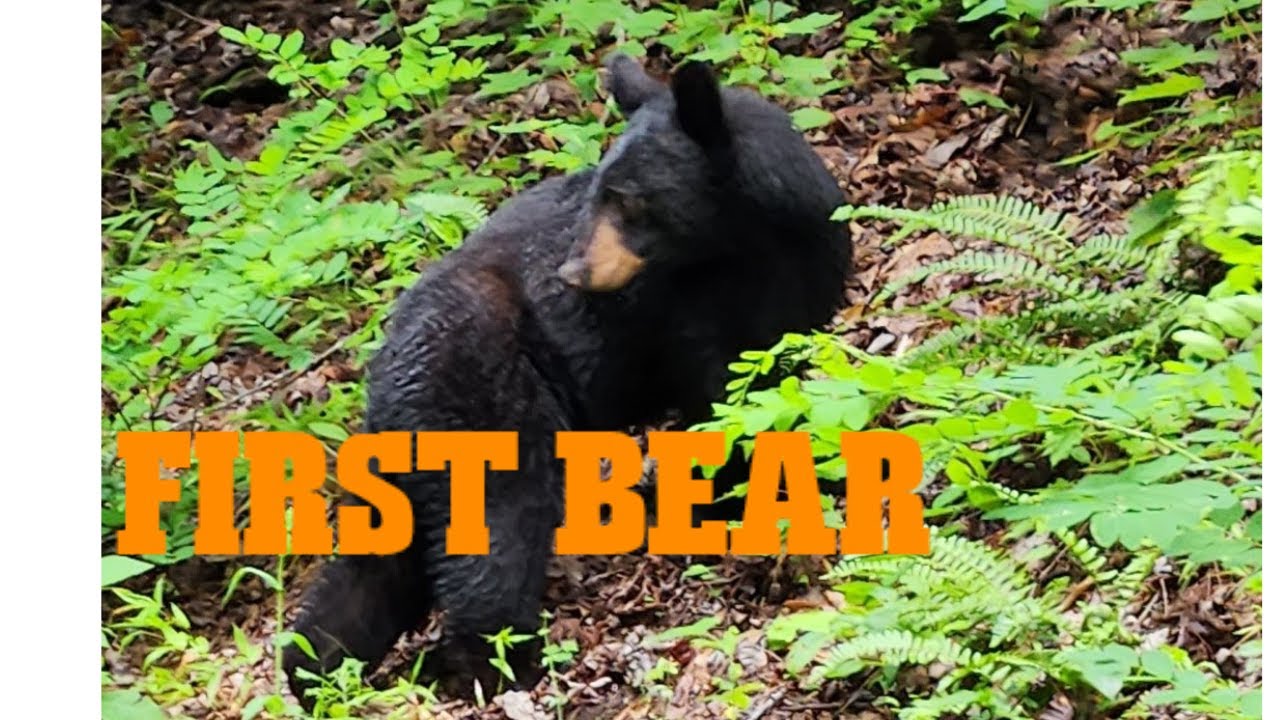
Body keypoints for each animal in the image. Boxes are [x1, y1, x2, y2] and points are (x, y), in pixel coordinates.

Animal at [283, 53, 851, 705]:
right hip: (484, 401)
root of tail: (385, 369)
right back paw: (500, 663)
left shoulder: (807, 282)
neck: (752, 247)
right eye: (599, 192)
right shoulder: (682, 314)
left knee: (374, 563)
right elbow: (720, 405)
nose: (573, 272)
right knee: (498, 531)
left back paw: (312, 666)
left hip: (404, 448)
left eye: (629, 200)